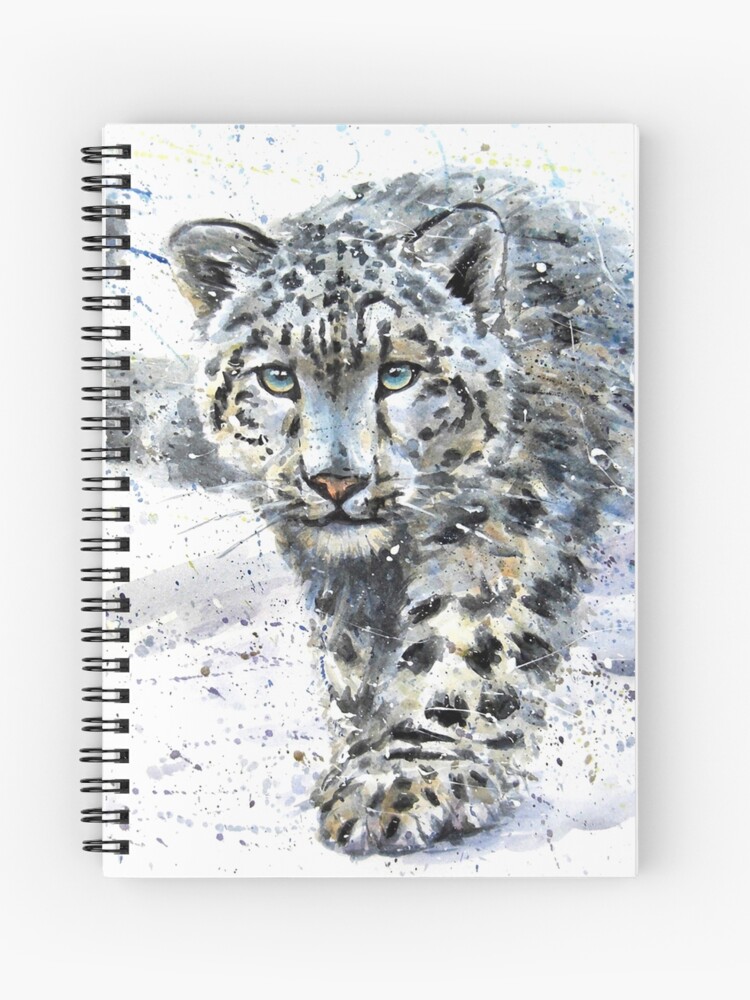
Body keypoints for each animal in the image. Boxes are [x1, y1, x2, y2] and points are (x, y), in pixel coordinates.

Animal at [167, 168, 634, 856]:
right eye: (276, 378)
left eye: (398, 375)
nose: (335, 480)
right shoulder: (340, 578)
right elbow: (350, 650)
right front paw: (362, 730)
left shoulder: (501, 530)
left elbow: (466, 644)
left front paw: (404, 774)